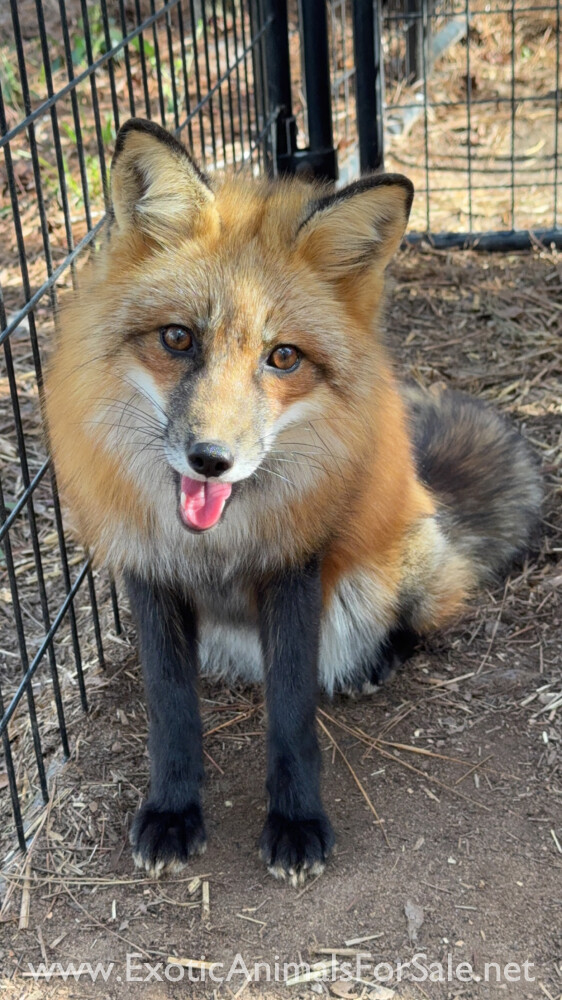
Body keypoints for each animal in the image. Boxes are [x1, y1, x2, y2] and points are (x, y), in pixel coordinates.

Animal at [45, 118, 542, 886]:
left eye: (283, 357)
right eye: (177, 338)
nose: (210, 459)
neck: (215, 542)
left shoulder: (293, 569)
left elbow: (290, 712)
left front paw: (297, 821)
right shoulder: (149, 570)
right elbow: (170, 711)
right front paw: (173, 809)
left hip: (390, 573)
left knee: (421, 616)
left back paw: (374, 662)